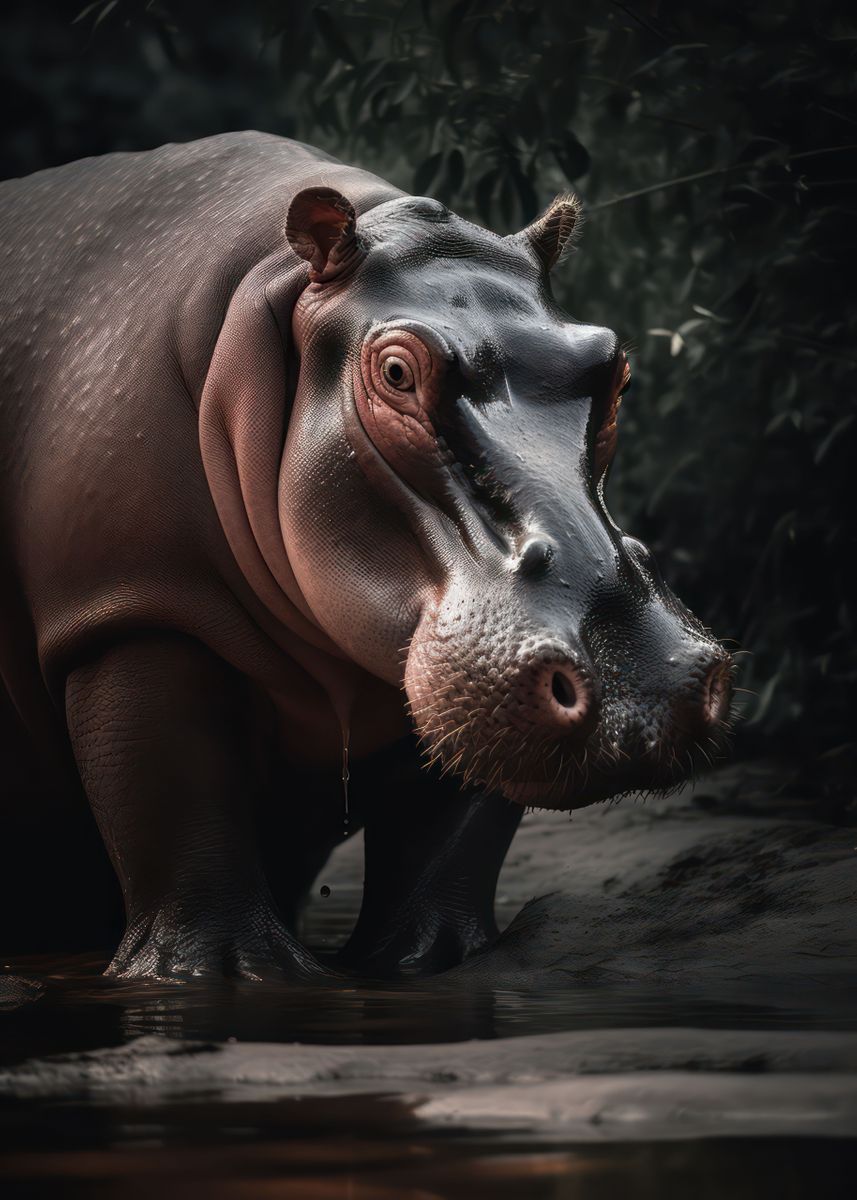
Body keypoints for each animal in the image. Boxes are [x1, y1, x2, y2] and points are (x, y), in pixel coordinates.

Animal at [0, 132, 732, 981]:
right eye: (395, 371)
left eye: (613, 366)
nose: (636, 689)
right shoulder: (132, 607)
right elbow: (171, 792)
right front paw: (227, 976)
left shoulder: (453, 662)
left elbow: (456, 828)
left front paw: (416, 966)